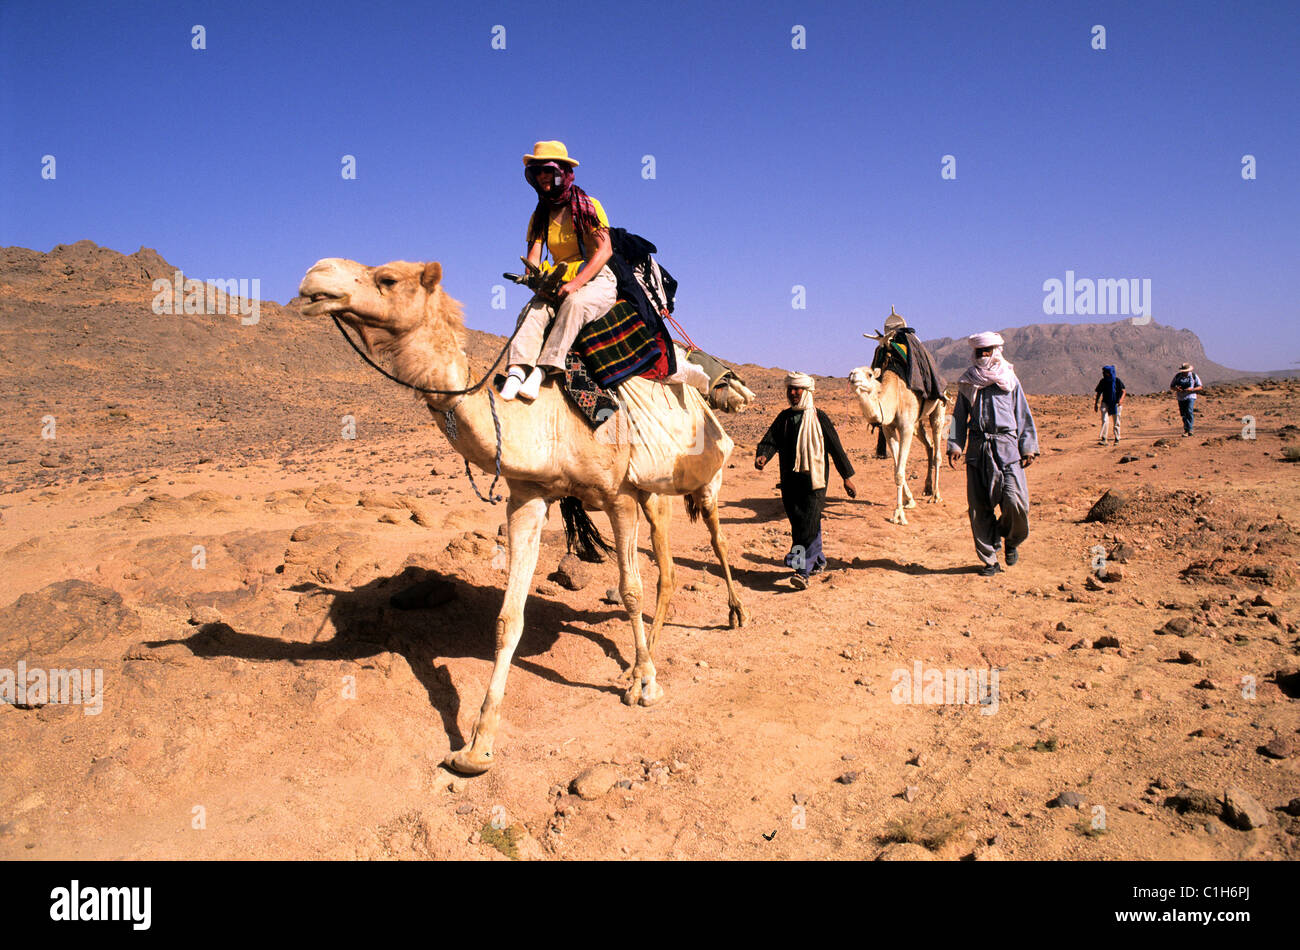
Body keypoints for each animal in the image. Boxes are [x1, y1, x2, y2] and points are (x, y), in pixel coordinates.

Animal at [298, 257, 749, 775]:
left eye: (387, 279)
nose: (315, 275)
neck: (547, 417)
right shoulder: (528, 498)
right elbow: (508, 617)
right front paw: (477, 747)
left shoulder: (617, 495)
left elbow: (632, 592)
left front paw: (646, 687)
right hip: (653, 494)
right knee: (670, 570)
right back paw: (643, 661)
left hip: (693, 478)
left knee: (704, 545)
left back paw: (726, 618)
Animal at [848, 365, 948, 525]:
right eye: (852, 371)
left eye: (869, 374)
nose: (852, 375)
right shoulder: (888, 428)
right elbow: (896, 468)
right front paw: (910, 501)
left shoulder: (906, 427)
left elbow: (899, 472)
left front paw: (899, 515)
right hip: (917, 422)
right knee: (929, 445)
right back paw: (927, 488)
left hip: (938, 408)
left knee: (937, 445)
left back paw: (935, 495)